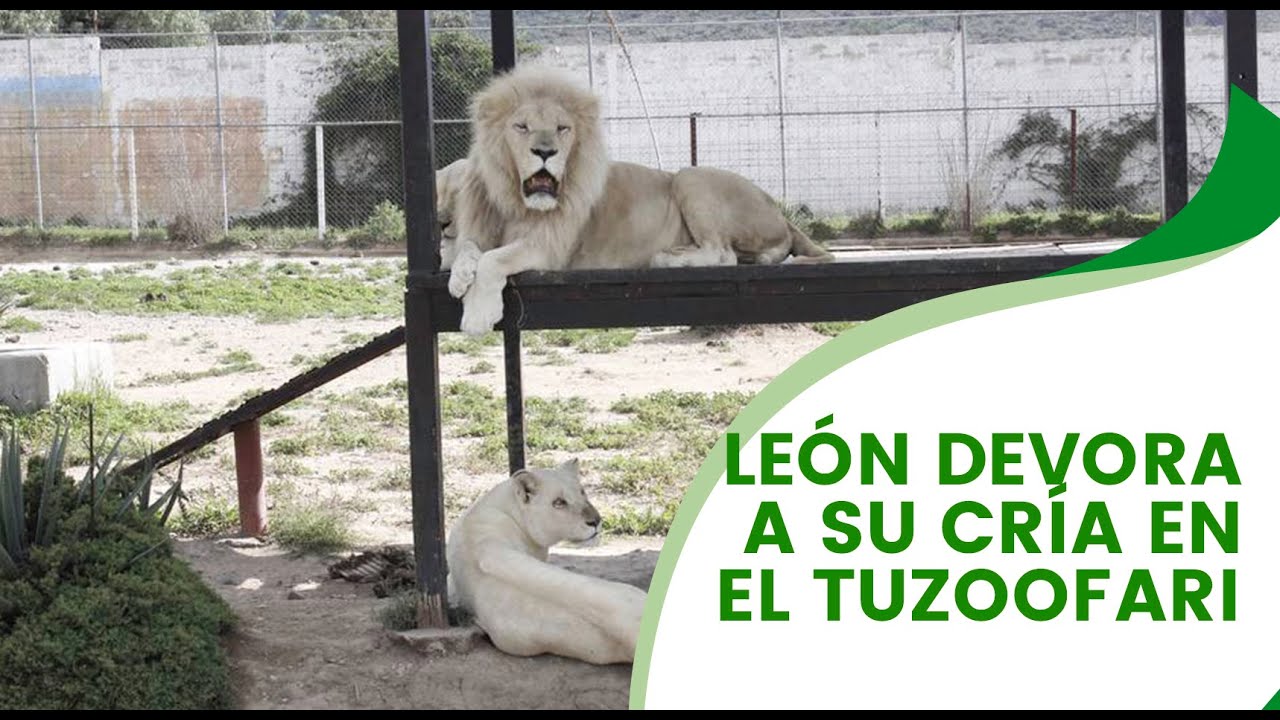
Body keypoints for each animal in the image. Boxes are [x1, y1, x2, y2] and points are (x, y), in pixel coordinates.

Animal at [443, 65, 832, 335]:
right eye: (521, 127)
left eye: (562, 128)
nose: (544, 152)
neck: (515, 202)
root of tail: (780, 213)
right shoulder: (481, 231)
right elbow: (468, 249)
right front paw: (460, 276)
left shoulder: (551, 249)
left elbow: (493, 260)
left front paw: (477, 315)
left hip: (690, 177)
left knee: (723, 254)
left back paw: (668, 258)